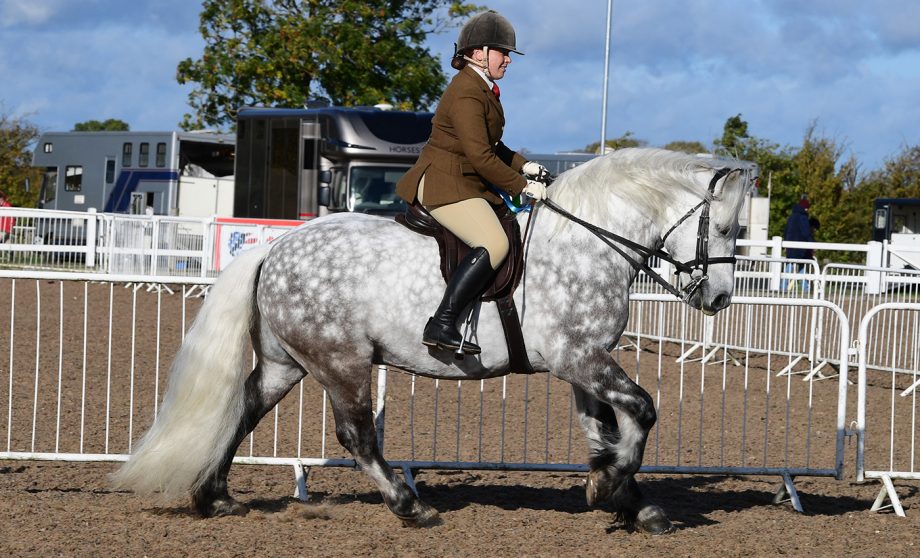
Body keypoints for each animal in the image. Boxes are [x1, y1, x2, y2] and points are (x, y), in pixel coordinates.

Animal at [113, 147, 754, 534]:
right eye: (725, 228)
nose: (720, 299)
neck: (589, 242)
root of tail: (273, 247)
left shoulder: (582, 362)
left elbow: (605, 431)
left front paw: (625, 497)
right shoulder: (579, 358)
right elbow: (641, 412)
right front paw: (616, 489)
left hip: (285, 362)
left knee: (245, 407)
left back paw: (214, 496)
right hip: (341, 360)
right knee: (356, 434)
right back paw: (410, 505)